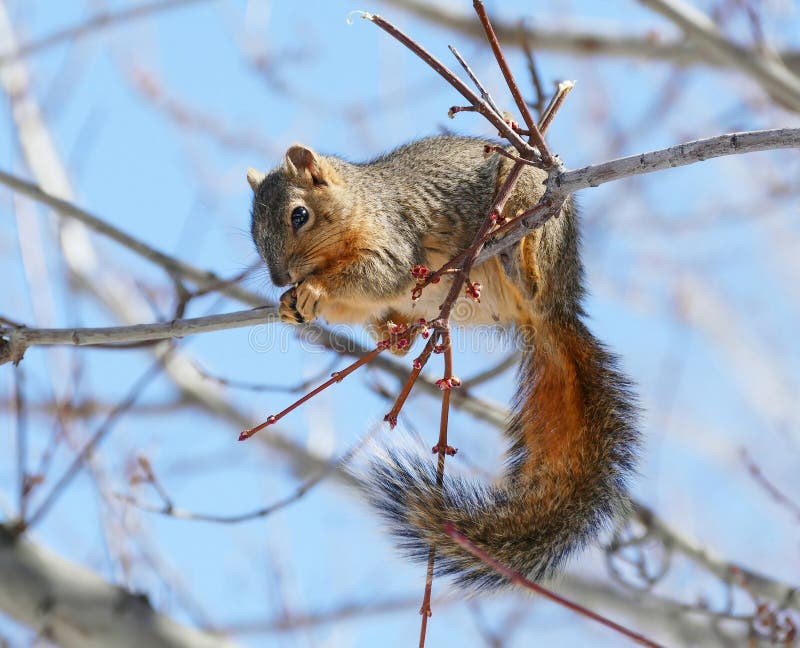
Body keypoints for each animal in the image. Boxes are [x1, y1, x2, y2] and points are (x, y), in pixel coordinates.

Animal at [247, 135, 638, 589]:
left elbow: (378, 275)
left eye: (299, 215)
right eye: (254, 232)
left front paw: (314, 289)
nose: (280, 279)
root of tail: (558, 310)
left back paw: (525, 256)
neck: (359, 202)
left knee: (534, 266)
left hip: (532, 204)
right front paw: (289, 303)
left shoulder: (394, 241)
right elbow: (356, 304)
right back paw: (395, 335)